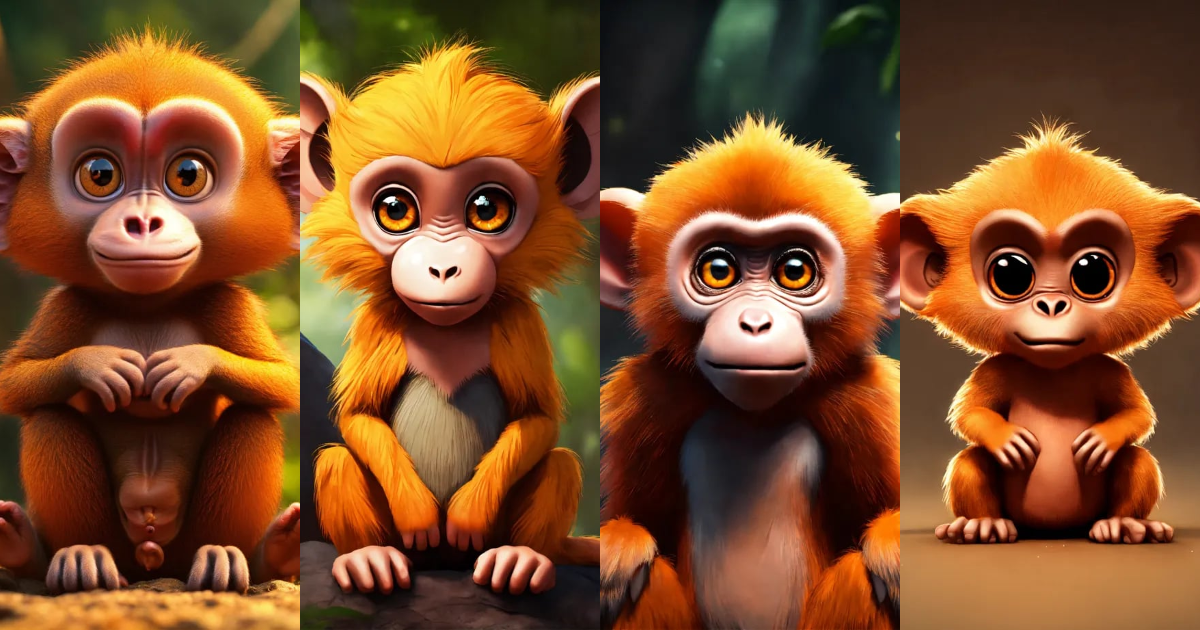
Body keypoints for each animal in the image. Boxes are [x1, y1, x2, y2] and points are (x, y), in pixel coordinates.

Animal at [0, 32, 301, 593]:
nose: (142, 222)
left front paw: (190, 363)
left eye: (187, 175)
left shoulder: (226, 301)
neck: (147, 306)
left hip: (182, 546)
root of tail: (151, 555)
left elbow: (284, 382)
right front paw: (97, 364)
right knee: (49, 416)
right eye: (101, 175)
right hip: (120, 542)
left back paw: (248, 554)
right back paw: (58, 552)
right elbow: (13, 383)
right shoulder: (67, 303)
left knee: (252, 416)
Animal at [300, 44, 601, 596]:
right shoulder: (378, 322)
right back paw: (368, 558)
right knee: (335, 459)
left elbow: (538, 418)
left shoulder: (519, 320)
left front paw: (466, 513)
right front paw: (420, 513)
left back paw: (521, 559)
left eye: (487, 208)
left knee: (562, 464)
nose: (443, 268)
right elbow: (359, 415)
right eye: (395, 209)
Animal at [599, 117, 900, 630]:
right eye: (718, 269)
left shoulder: (871, 401)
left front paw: (891, 543)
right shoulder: (647, 398)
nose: (755, 323)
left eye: (795, 270)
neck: (752, 417)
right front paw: (620, 544)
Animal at [900, 123, 1200, 544]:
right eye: (1011, 273)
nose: (1052, 305)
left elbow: (1137, 413)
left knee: (1137, 458)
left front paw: (1102, 438)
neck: (1053, 370)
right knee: (969, 460)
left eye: (1093, 272)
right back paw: (980, 526)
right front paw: (1006, 438)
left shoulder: (1108, 368)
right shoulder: (997, 368)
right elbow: (969, 413)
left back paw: (1126, 525)